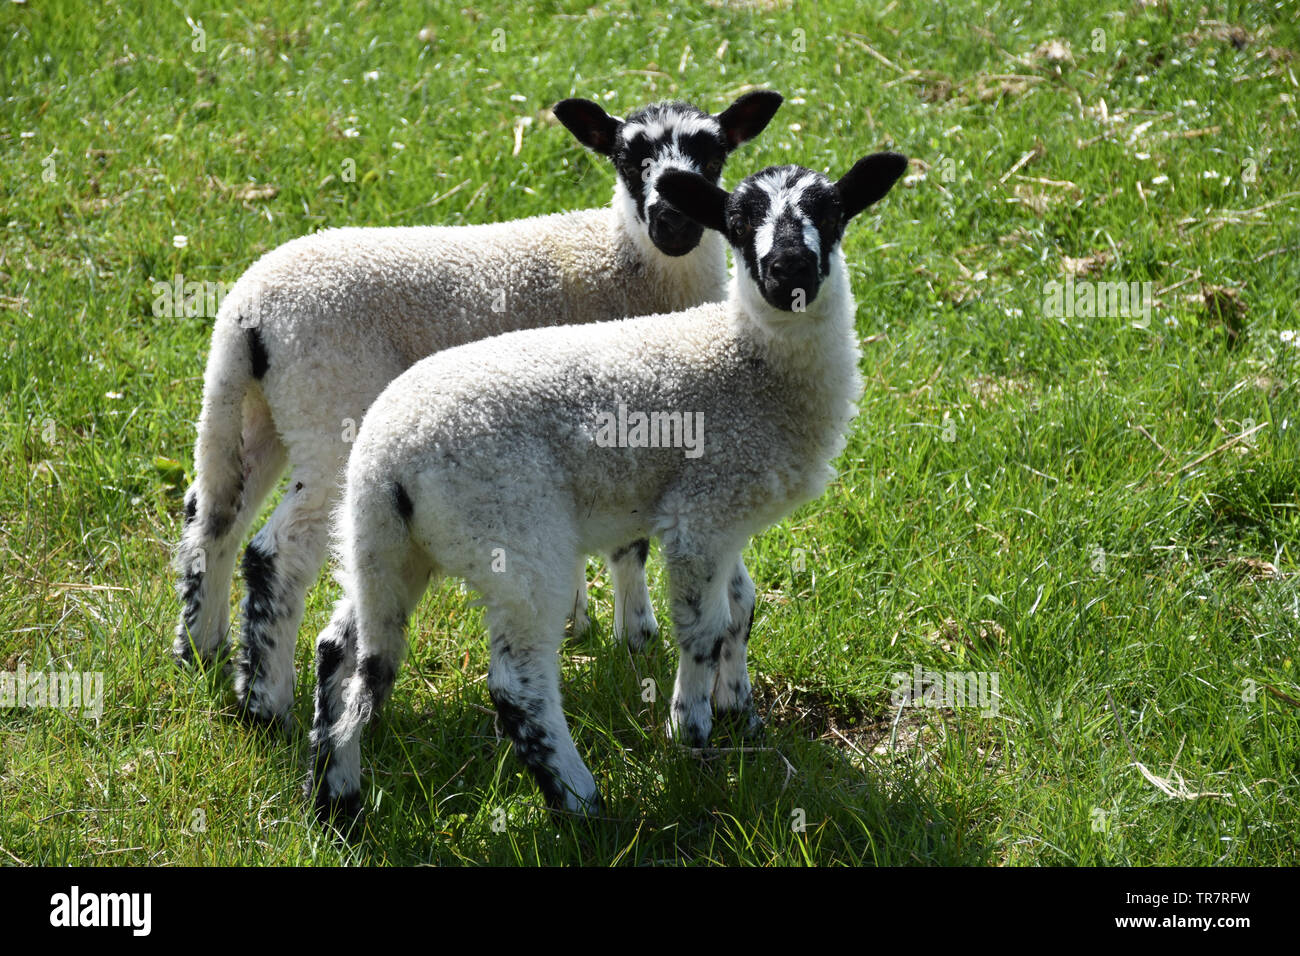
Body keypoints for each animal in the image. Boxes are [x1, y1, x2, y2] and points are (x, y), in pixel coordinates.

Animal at [172, 91, 785, 726]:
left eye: (712, 156)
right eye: (628, 159)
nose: (673, 222)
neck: (623, 262)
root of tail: (247, 310)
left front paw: (585, 620)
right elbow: (629, 545)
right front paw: (635, 634)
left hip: (253, 412)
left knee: (210, 517)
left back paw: (203, 650)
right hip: (330, 412)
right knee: (274, 553)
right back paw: (267, 703)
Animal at [309, 150, 909, 824]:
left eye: (831, 212)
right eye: (736, 222)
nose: (790, 271)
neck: (747, 363)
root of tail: (388, 458)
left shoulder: (728, 511)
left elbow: (741, 610)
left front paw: (741, 713)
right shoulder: (701, 512)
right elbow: (702, 630)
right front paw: (691, 737)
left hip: (380, 543)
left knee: (346, 651)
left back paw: (337, 798)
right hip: (514, 535)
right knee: (516, 686)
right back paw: (581, 802)